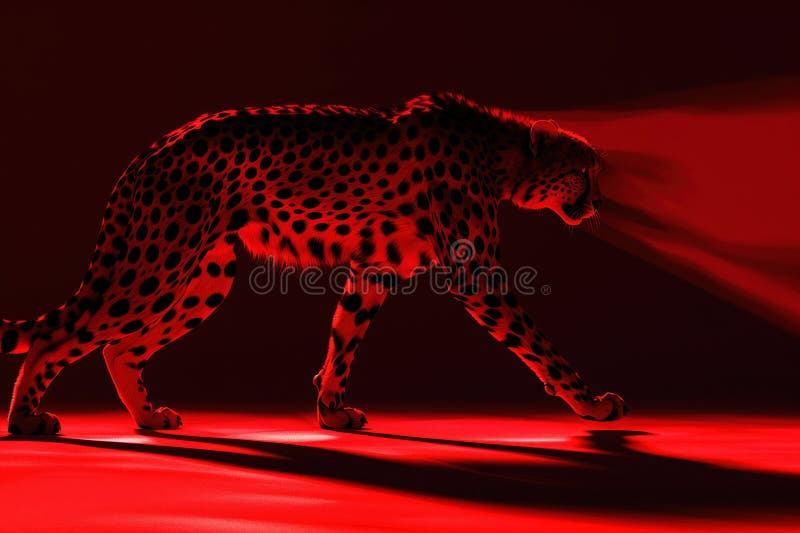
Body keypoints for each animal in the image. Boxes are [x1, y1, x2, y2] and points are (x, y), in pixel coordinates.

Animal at [1, 93, 627, 434]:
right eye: (584, 170)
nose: (599, 203)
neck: (500, 153)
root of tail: (152, 147)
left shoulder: (374, 269)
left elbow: (343, 339)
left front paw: (330, 412)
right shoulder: (476, 275)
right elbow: (541, 348)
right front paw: (592, 403)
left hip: (206, 277)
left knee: (118, 345)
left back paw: (147, 417)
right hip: (158, 265)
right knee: (58, 338)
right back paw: (27, 422)